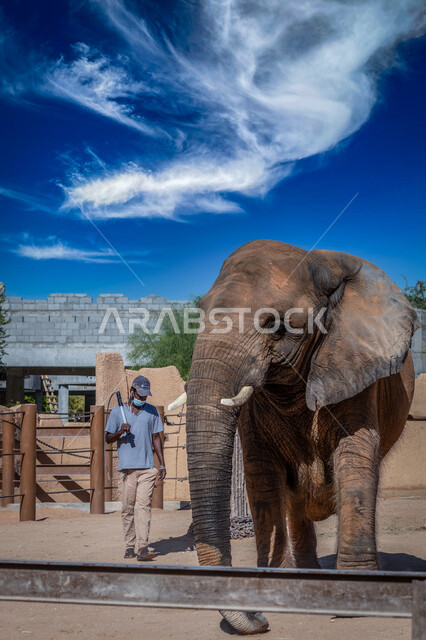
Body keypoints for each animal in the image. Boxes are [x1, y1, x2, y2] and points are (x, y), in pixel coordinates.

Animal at [169, 240, 419, 635]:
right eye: (200, 314)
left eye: (274, 324)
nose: (259, 620)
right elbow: (261, 473)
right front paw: (276, 591)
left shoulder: (353, 367)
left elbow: (354, 460)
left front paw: (355, 599)